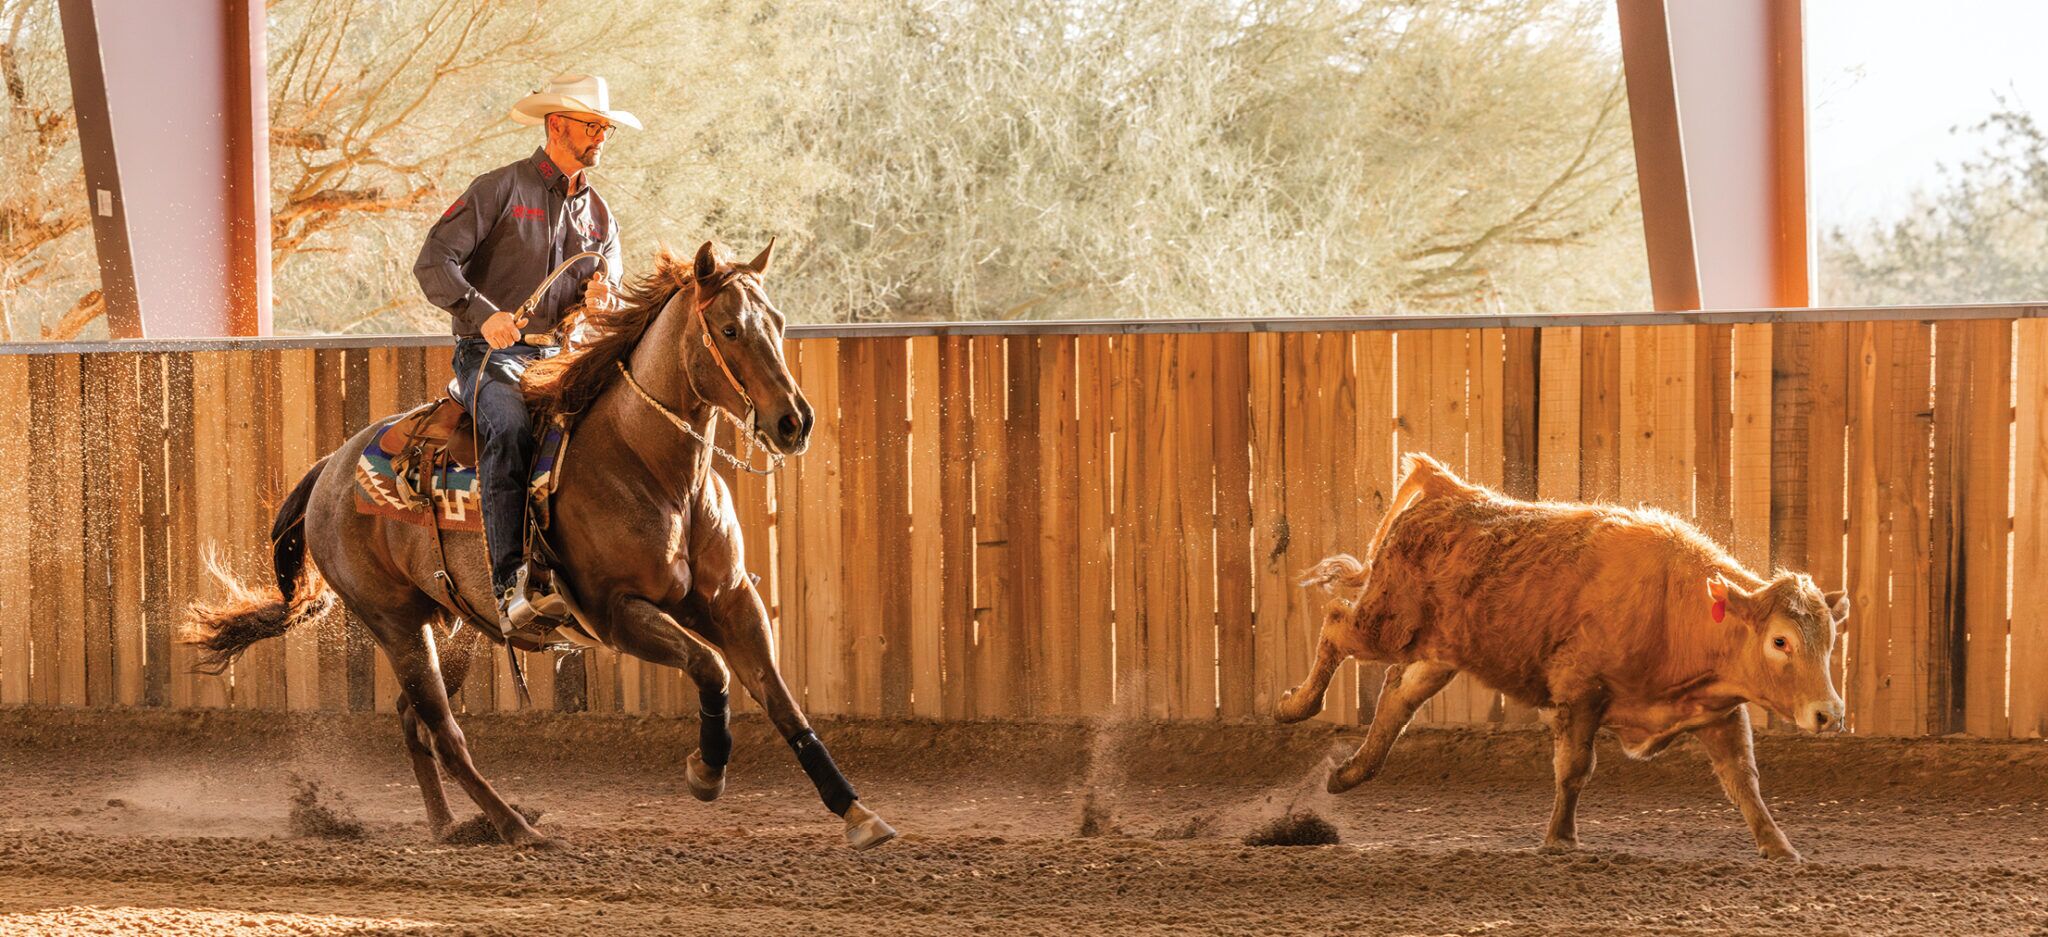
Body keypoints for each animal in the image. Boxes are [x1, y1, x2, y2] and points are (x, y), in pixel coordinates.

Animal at [182, 241, 897, 851]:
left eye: (776, 321)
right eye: (728, 329)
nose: (794, 422)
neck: (650, 468)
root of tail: (330, 467)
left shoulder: (732, 600)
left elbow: (779, 698)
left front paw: (856, 811)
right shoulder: (616, 613)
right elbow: (712, 670)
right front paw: (706, 770)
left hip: (453, 627)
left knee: (414, 719)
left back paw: (451, 826)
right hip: (393, 622)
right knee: (444, 729)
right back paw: (514, 827)